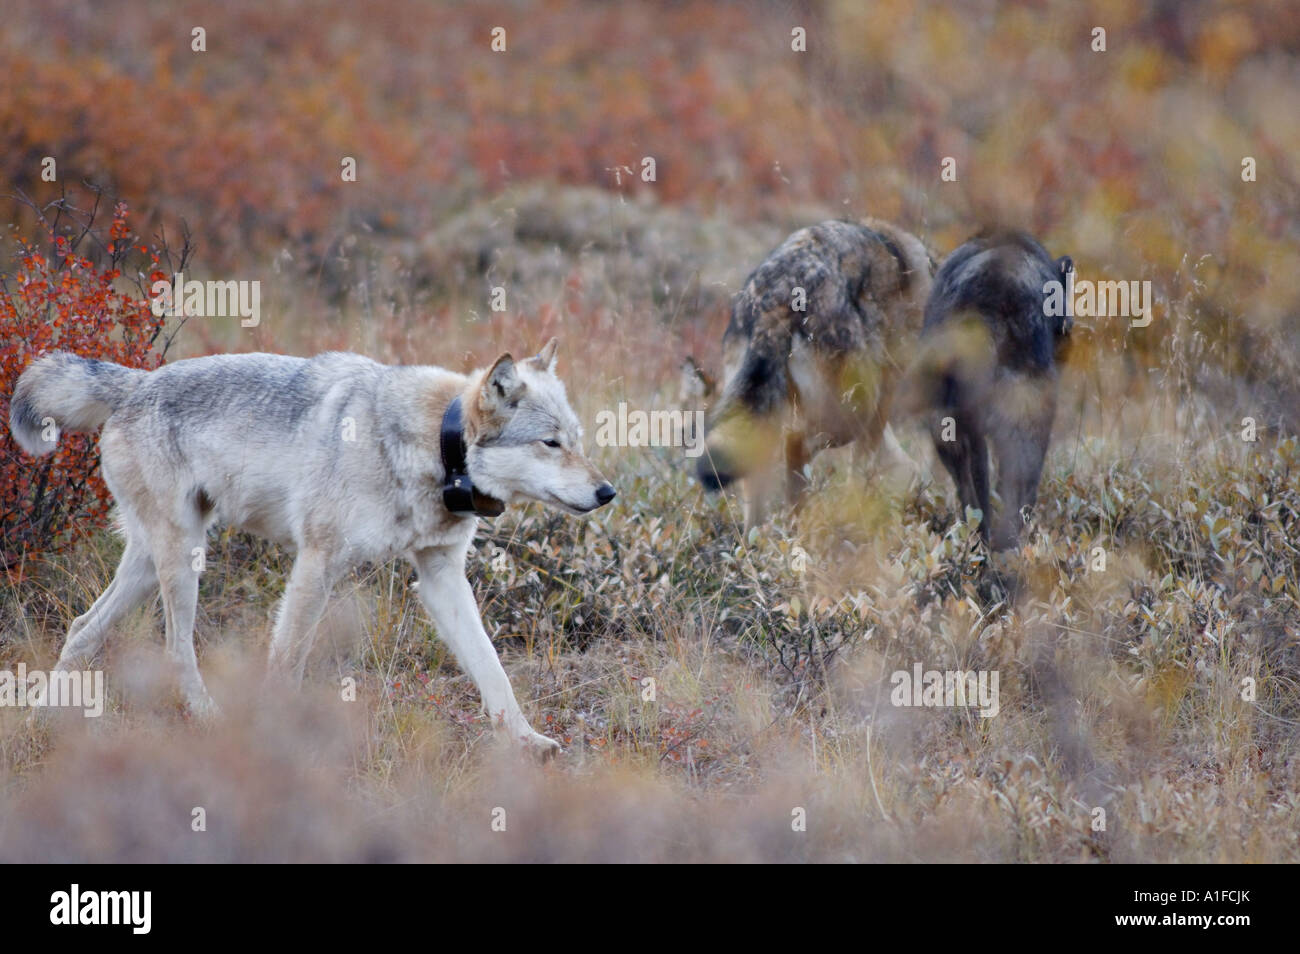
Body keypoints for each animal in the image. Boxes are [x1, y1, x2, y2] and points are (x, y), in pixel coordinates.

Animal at [9, 339, 613, 754]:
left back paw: (40, 721)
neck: (431, 448)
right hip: (184, 561)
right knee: (176, 648)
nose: (607, 492)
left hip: (148, 565)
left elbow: (493, 671)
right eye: (550, 443)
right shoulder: (317, 562)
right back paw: (207, 720)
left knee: (81, 628)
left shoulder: (440, 576)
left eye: (578, 441)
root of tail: (135, 382)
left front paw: (528, 741)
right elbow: (288, 662)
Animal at [694, 218, 934, 526]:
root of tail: (780, 289)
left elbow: (894, 457)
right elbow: (865, 466)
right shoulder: (885, 392)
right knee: (795, 445)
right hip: (852, 410)